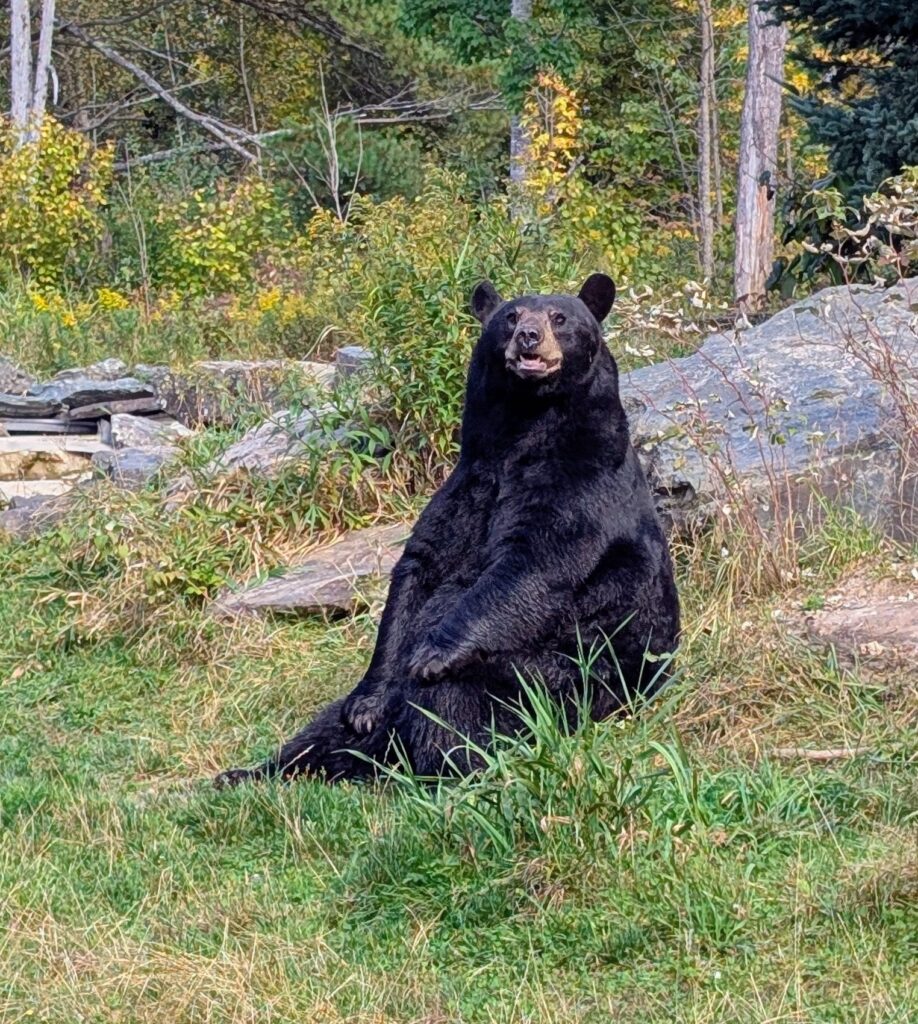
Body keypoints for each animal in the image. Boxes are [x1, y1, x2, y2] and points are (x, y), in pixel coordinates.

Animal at [214, 273, 680, 787]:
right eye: (510, 317)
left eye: (560, 318)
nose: (529, 338)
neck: (524, 432)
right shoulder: (469, 486)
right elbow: (420, 569)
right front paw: (367, 702)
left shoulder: (580, 487)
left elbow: (533, 564)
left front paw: (430, 654)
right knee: (324, 728)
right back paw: (257, 772)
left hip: (560, 679)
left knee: (457, 703)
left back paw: (444, 768)